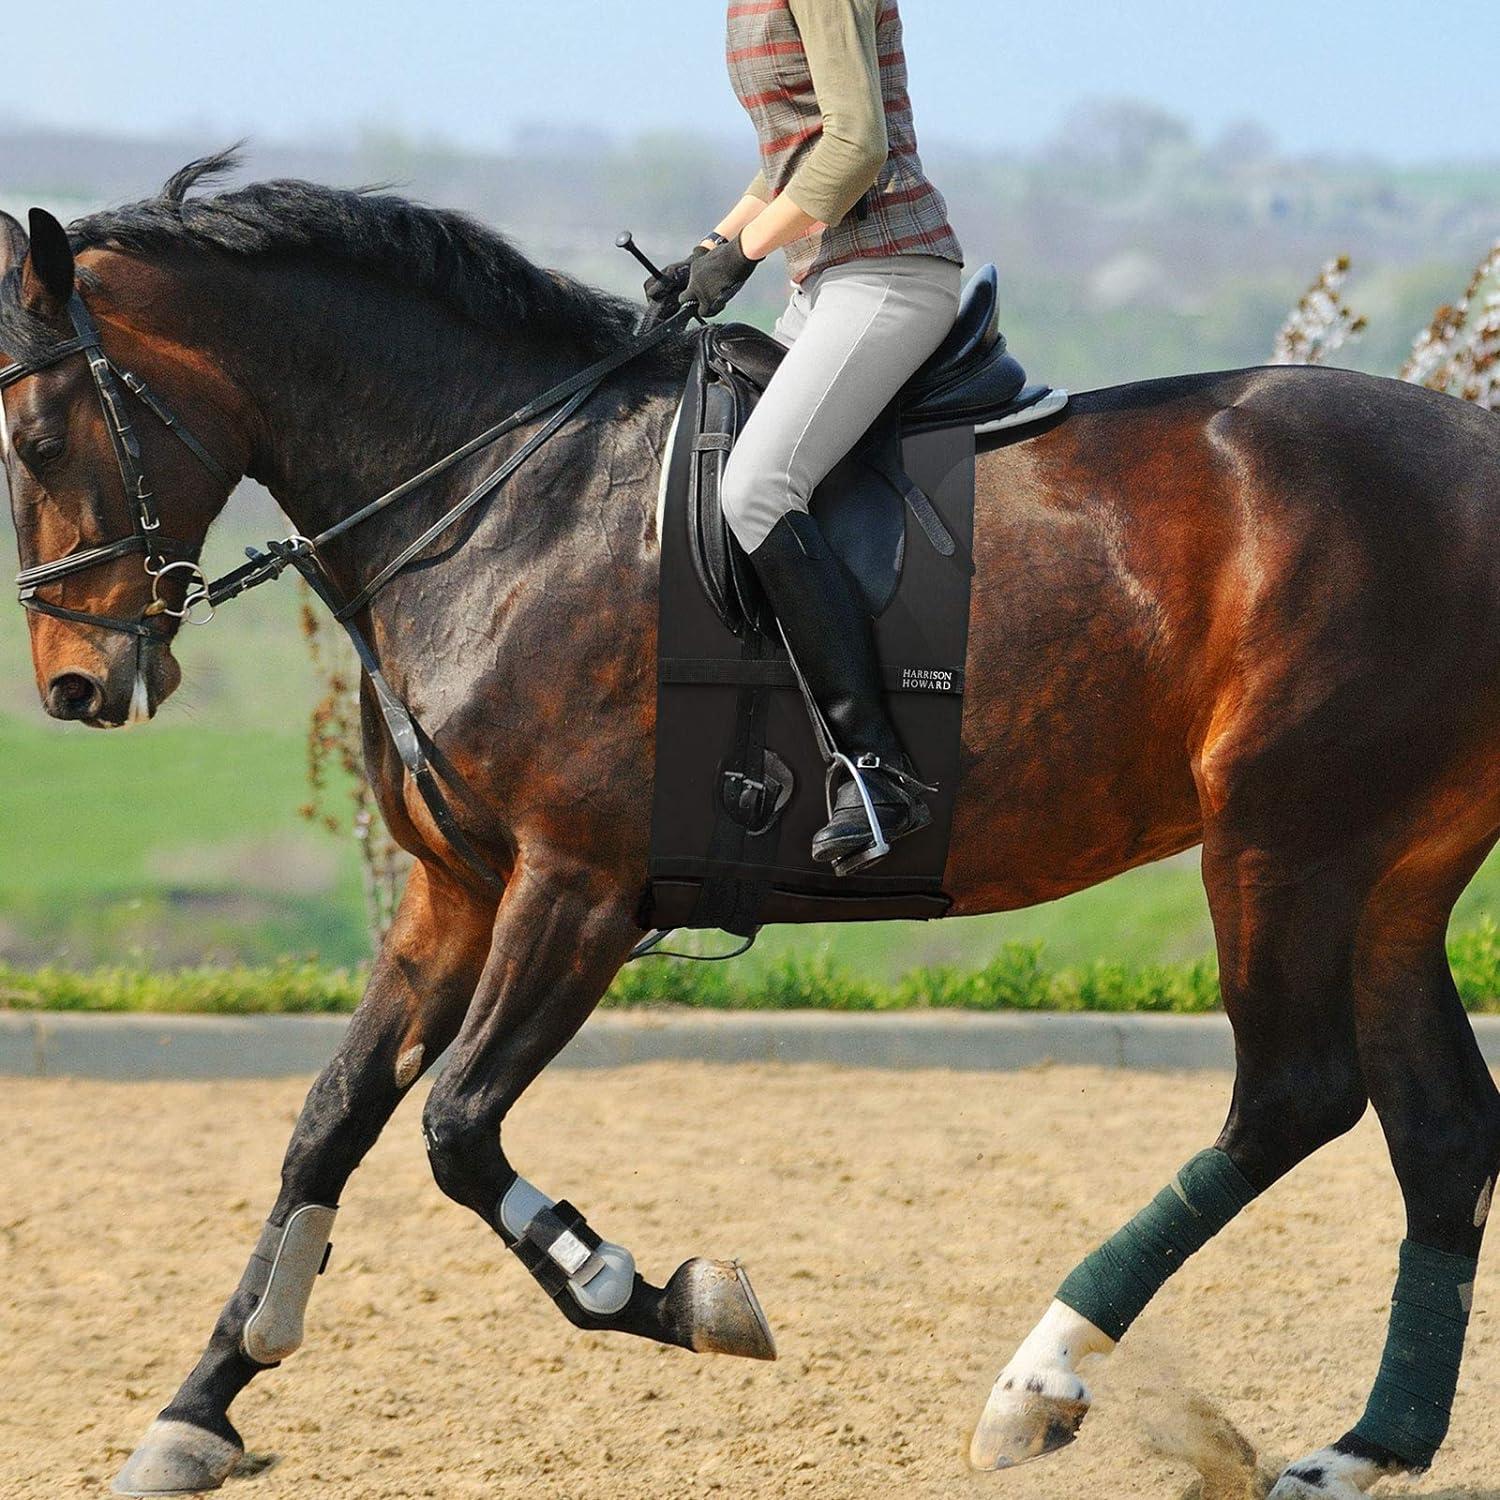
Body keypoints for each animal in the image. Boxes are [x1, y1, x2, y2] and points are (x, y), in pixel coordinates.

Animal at [3, 154, 1496, 1500]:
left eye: (36, 441)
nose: (75, 685)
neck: (496, 496)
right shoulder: (452, 893)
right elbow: (329, 1121)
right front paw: (196, 1411)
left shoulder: (577, 888)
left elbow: (458, 1128)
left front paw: (658, 1291)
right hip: (1389, 872)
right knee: (1438, 1134)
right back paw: (1361, 1451)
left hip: (1281, 842)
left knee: (1294, 1097)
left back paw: (1039, 1381)